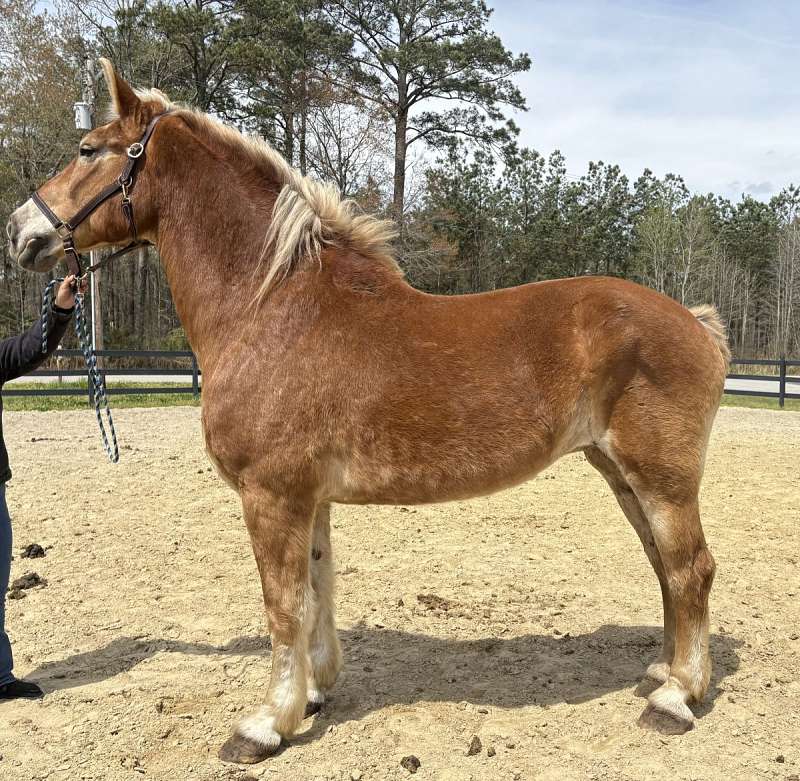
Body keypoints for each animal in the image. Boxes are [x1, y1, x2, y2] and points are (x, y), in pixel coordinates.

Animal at [6, 60, 729, 763]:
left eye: (87, 149)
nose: (19, 230)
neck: (271, 305)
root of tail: (693, 321)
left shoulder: (271, 493)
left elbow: (283, 604)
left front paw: (265, 725)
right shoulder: (307, 497)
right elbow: (317, 590)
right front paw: (314, 692)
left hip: (661, 479)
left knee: (690, 570)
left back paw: (676, 697)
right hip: (620, 472)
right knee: (665, 569)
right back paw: (660, 673)